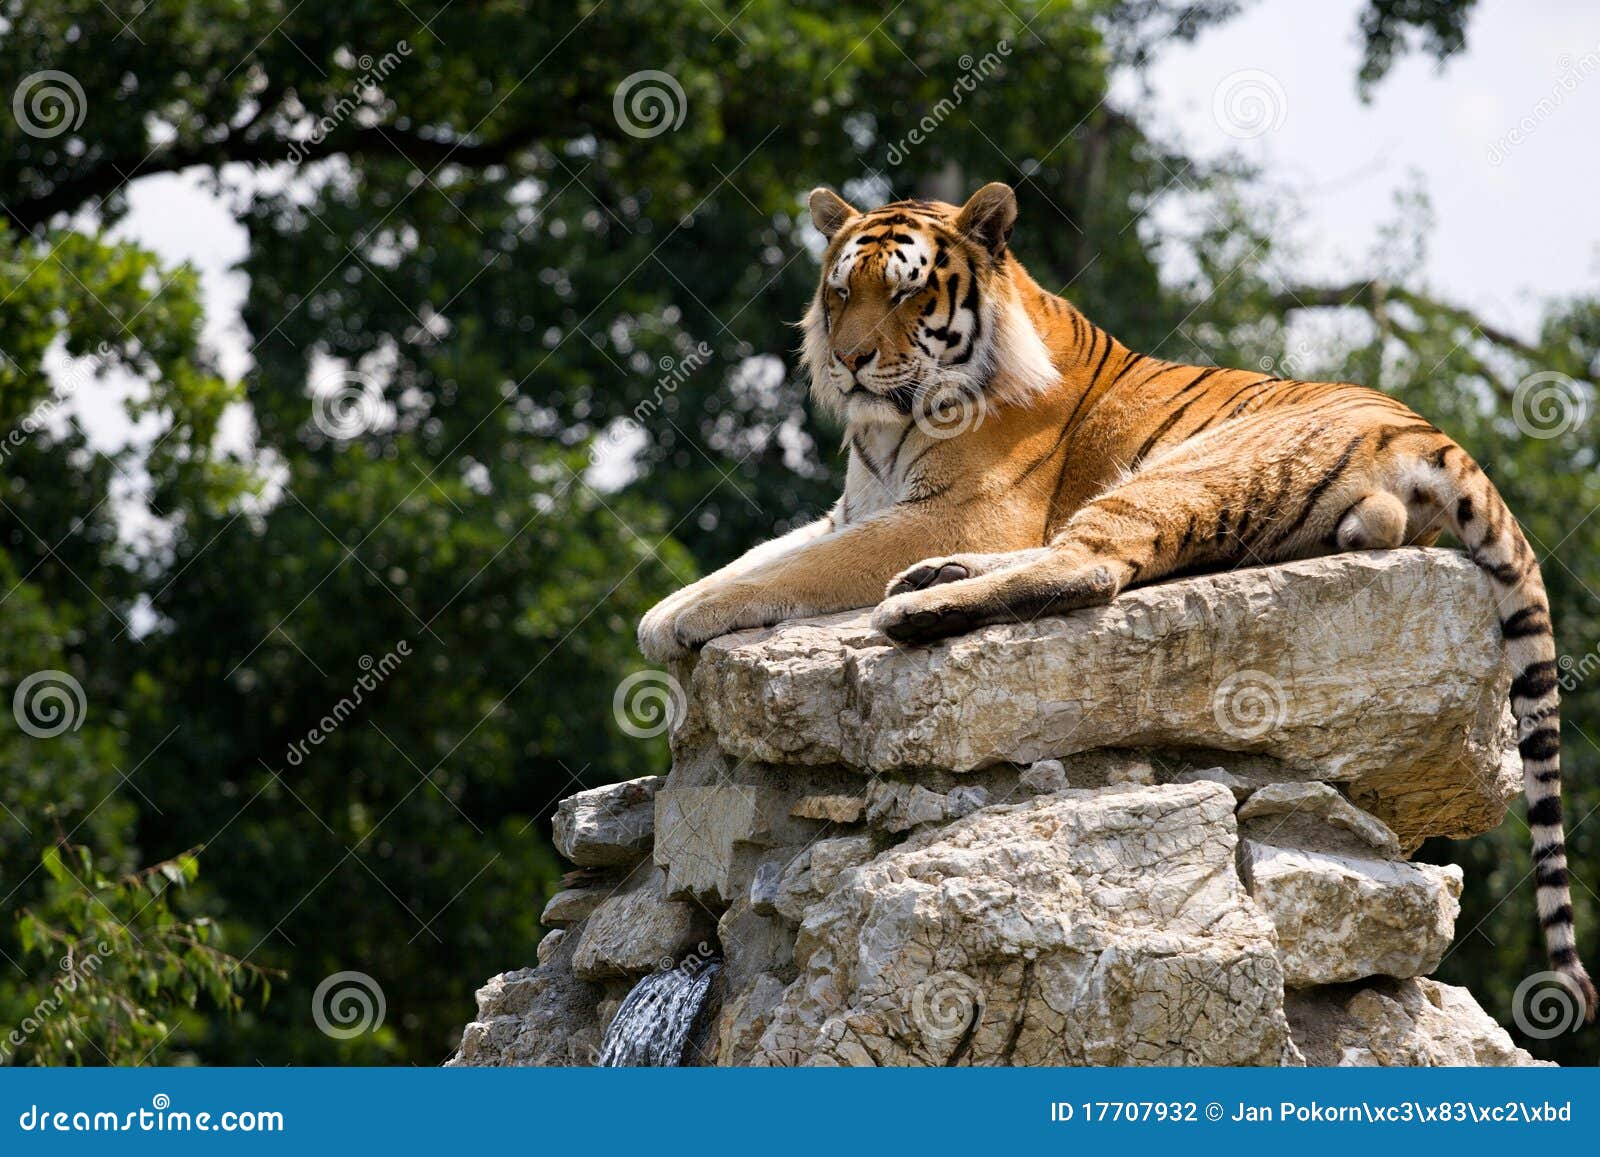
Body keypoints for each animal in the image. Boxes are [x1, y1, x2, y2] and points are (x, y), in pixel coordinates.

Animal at [636, 181, 1595, 1015]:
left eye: (907, 294)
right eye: (841, 292)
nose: (849, 362)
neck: (889, 430)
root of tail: (1427, 432)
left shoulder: (953, 509)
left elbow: (794, 568)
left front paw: (678, 621)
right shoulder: (860, 505)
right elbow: (767, 553)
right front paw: (667, 609)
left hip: (1188, 468)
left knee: (1092, 564)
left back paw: (912, 608)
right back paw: (932, 582)